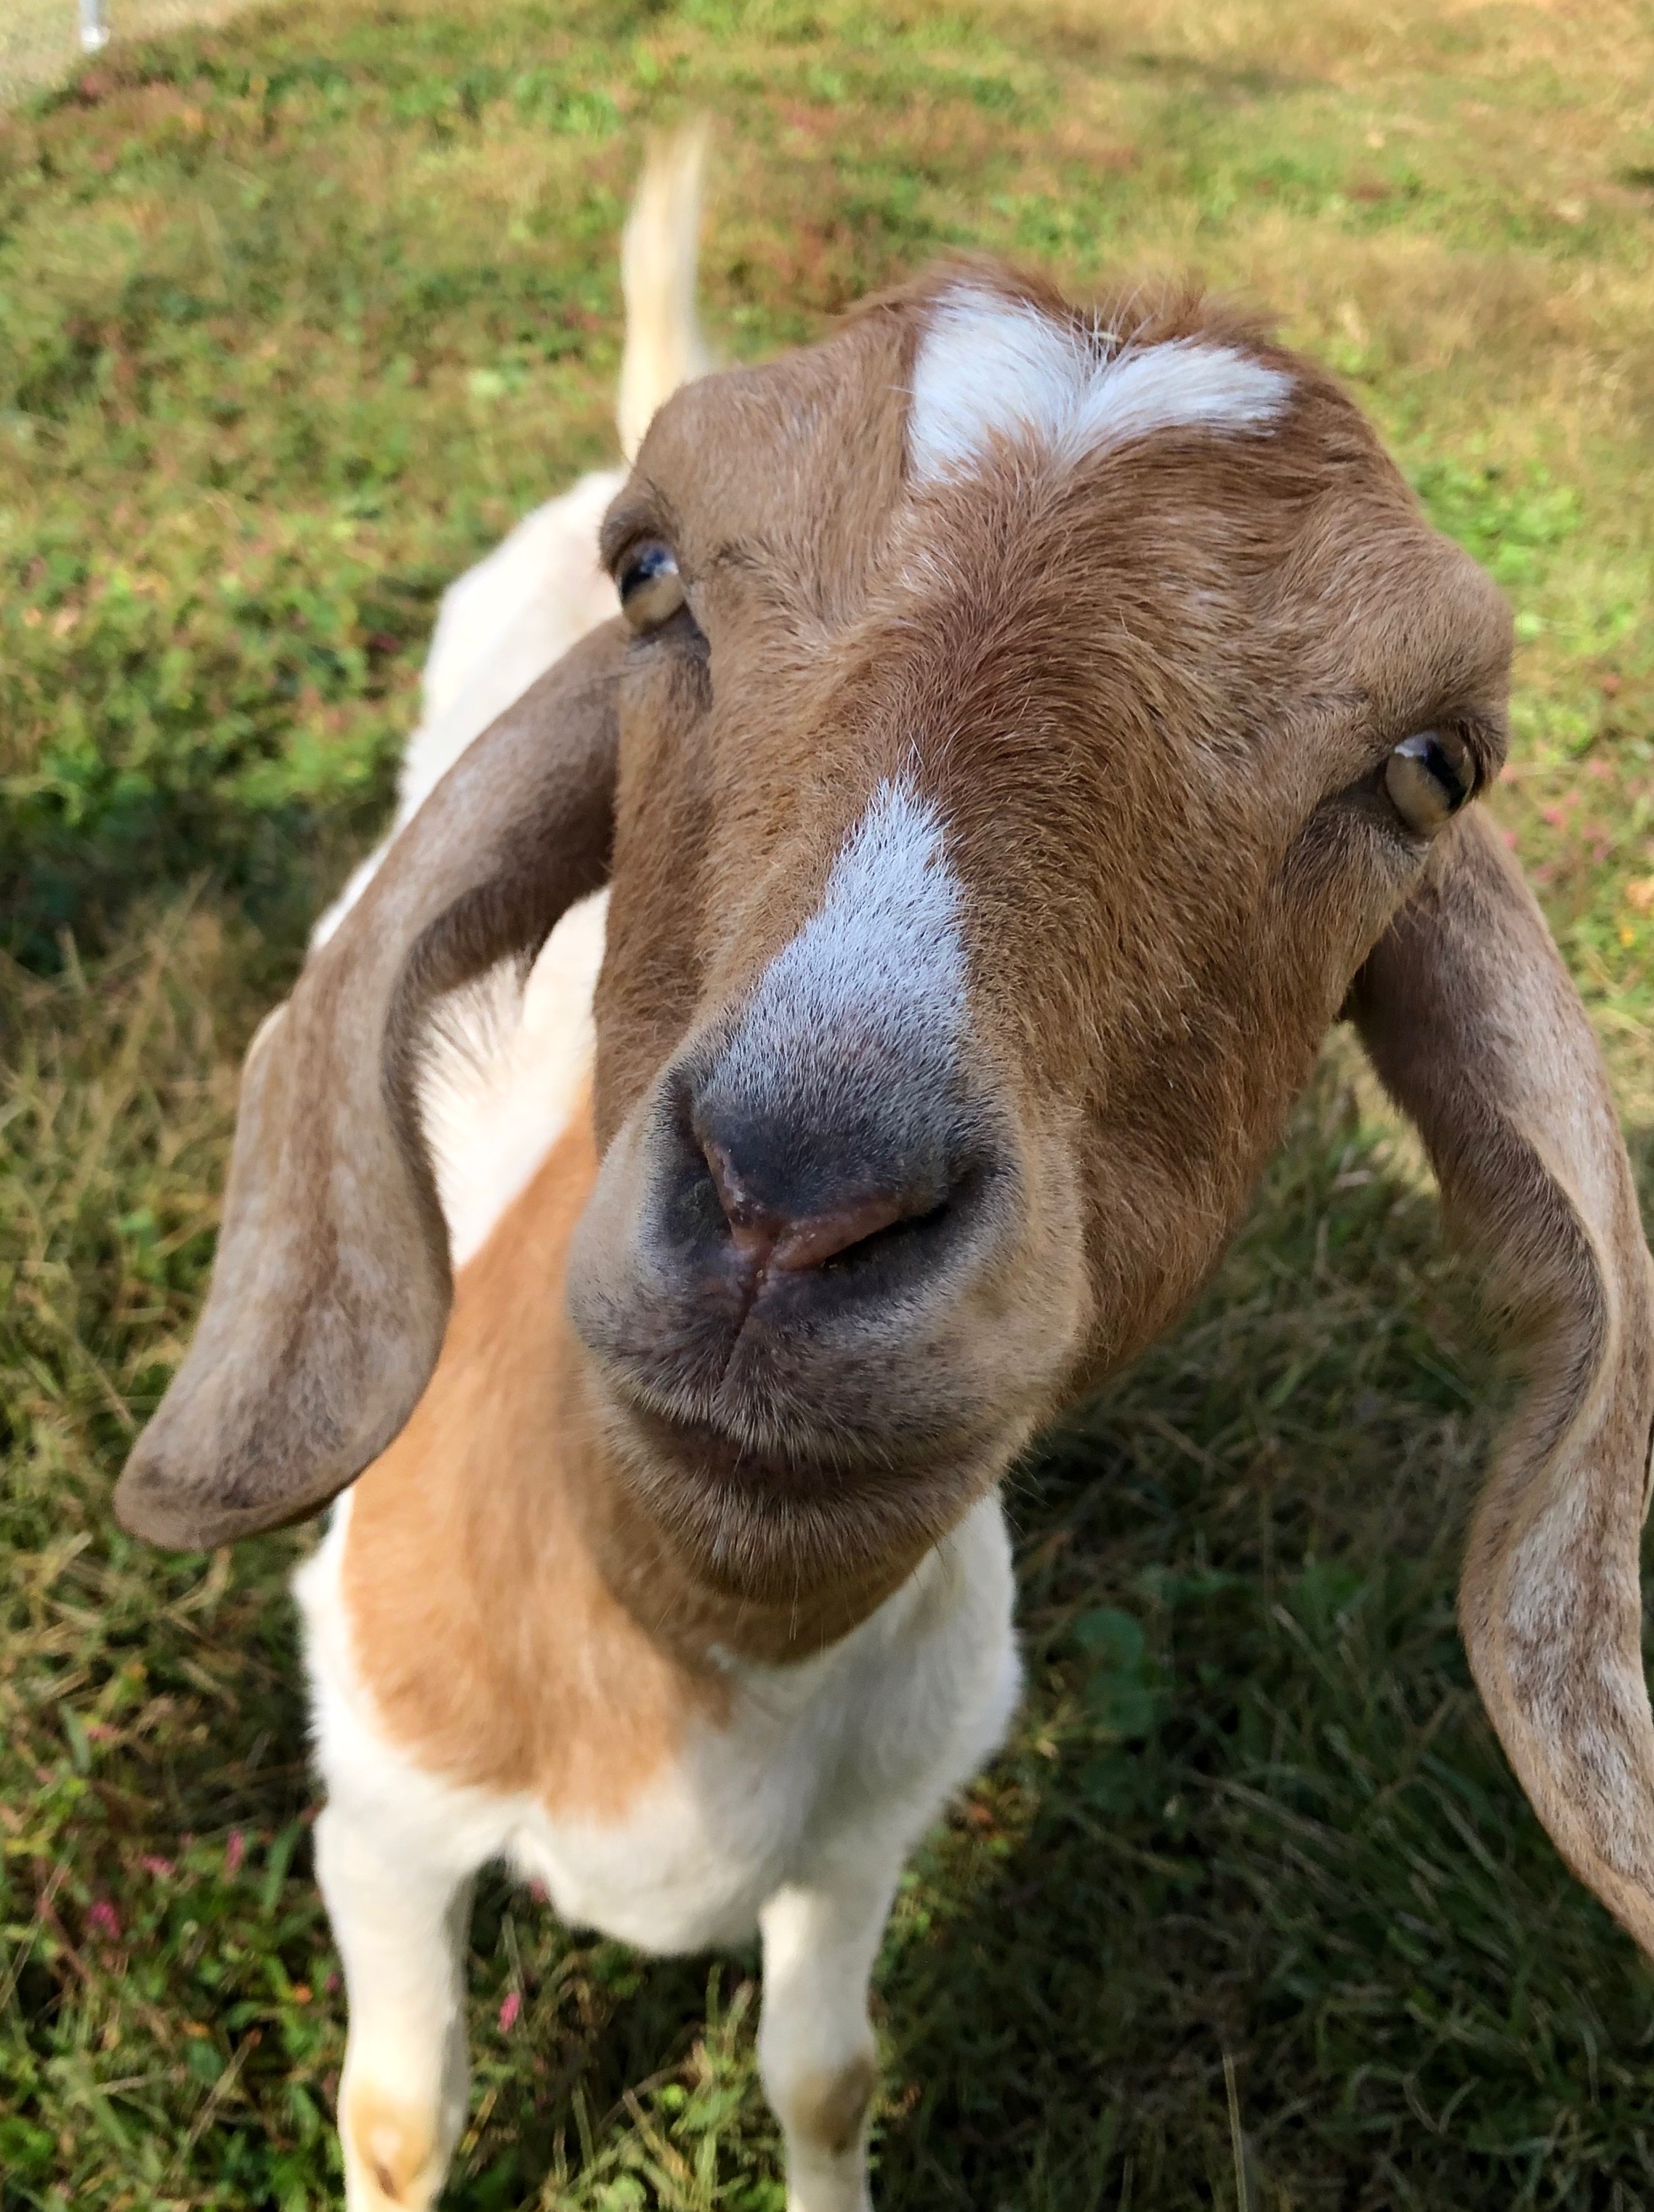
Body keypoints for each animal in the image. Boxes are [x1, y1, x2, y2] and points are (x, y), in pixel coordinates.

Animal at [117, 130, 1654, 2212]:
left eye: (1429, 765)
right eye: (656, 573)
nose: (797, 1201)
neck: (700, 1653)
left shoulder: (864, 1847)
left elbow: (825, 2074)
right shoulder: (378, 1813)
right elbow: (399, 2112)